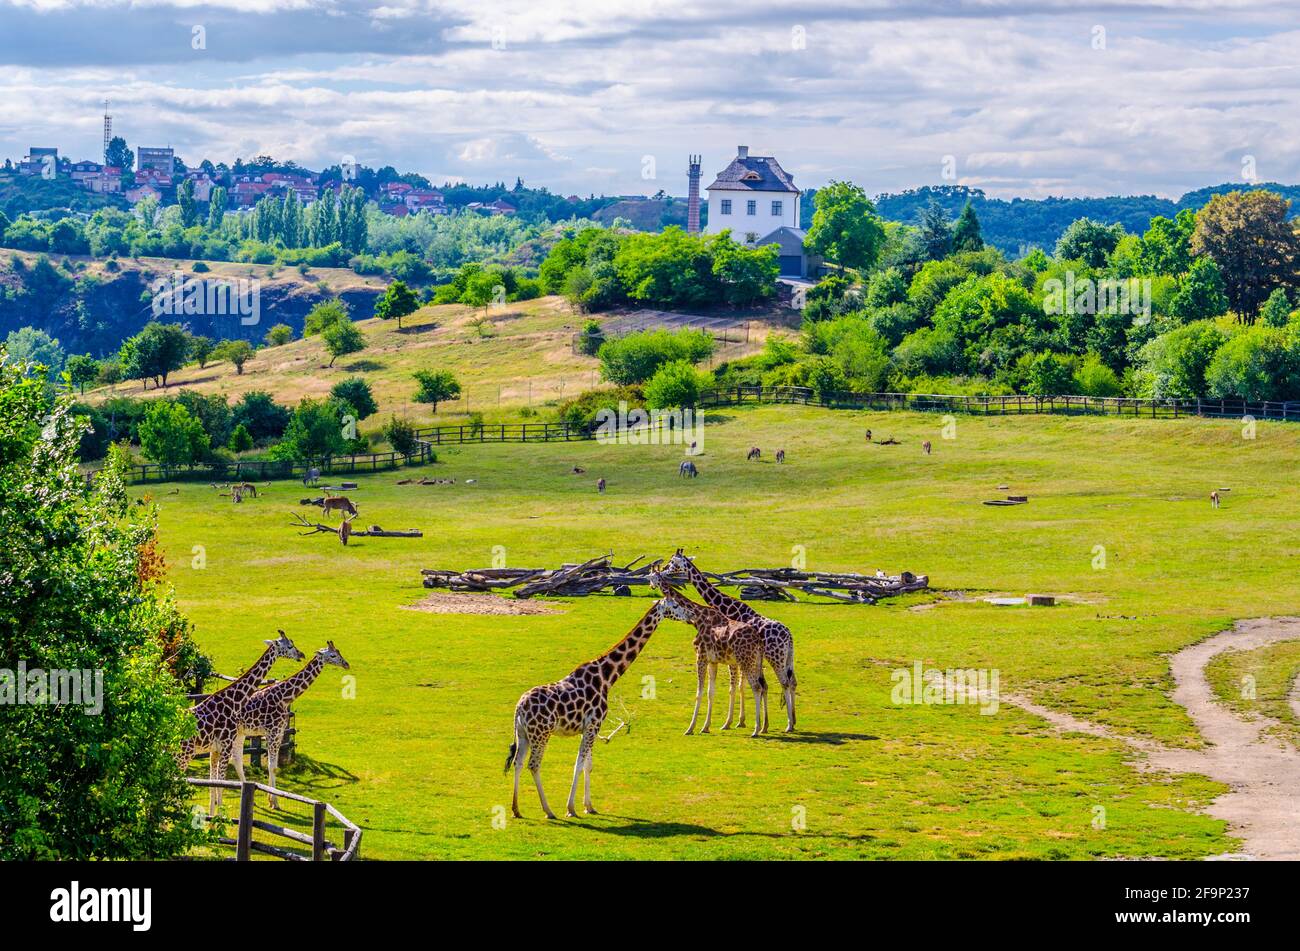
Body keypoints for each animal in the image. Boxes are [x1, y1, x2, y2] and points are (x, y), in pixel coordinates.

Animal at [179, 630, 305, 815]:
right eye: (289, 645)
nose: (301, 654)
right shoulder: (227, 744)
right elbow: (222, 781)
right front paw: (218, 817)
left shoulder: (217, 748)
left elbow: (214, 781)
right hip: (185, 753)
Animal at [231, 641, 351, 810]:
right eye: (332, 655)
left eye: (339, 651)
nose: (346, 664)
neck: (284, 697)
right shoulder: (273, 732)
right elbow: (272, 766)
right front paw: (274, 802)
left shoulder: (279, 732)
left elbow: (273, 765)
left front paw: (270, 799)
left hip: (240, 734)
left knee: (236, 760)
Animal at [506, 599, 668, 819]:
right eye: (676, 604)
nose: (689, 610)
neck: (606, 677)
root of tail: (519, 708)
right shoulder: (594, 725)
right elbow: (579, 764)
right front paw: (571, 808)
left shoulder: (589, 728)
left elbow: (588, 765)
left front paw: (589, 806)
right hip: (541, 733)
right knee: (534, 764)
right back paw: (548, 810)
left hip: (523, 733)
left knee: (518, 762)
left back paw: (516, 809)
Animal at [653, 576, 767, 736]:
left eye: (652, 576)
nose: (651, 585)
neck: (699, 619)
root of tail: (758, 640)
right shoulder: (713, 661)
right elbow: (710, 692)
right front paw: (705, 727)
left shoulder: (700, 657)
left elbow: (699, 692)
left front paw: (690, 728)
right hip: (756, 662)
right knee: (762, 686)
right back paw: (763, 726)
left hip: (745, 661)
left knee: (756, 687)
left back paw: (756, 729)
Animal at [667, 549, 797, 732]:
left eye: (672, 561)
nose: (665, 569)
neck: (730, 609)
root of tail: (789, 637)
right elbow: (744, 686)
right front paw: (743, 722)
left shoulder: (736, 659)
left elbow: (737, 687)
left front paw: (732, 722)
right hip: (786, 658)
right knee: (792, 682)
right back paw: (792, 720)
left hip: (775, 658)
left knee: (785, 683)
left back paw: (788, 725)